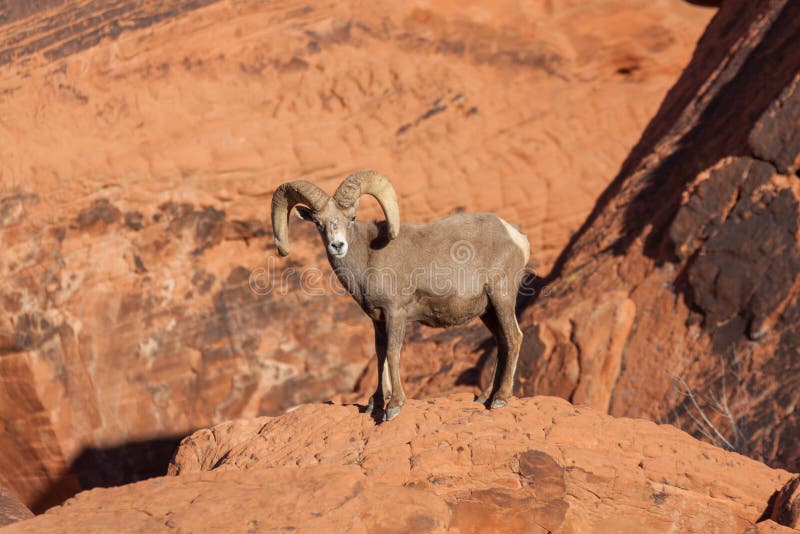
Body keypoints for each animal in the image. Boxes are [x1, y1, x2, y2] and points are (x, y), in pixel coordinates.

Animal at [271, 170, 530, 420]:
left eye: (351, 218)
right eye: (318, 222)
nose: (338, 245)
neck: (368, 258)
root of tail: (516, 237)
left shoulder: (395, 313)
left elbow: (393, 353)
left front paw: (394, 406)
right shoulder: (377, 319)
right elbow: (380, 355)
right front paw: (375, 403)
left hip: (501, 298)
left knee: (513, 338)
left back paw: (501, 399)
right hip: (487, 311)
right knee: (501, 342)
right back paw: (485, 397)